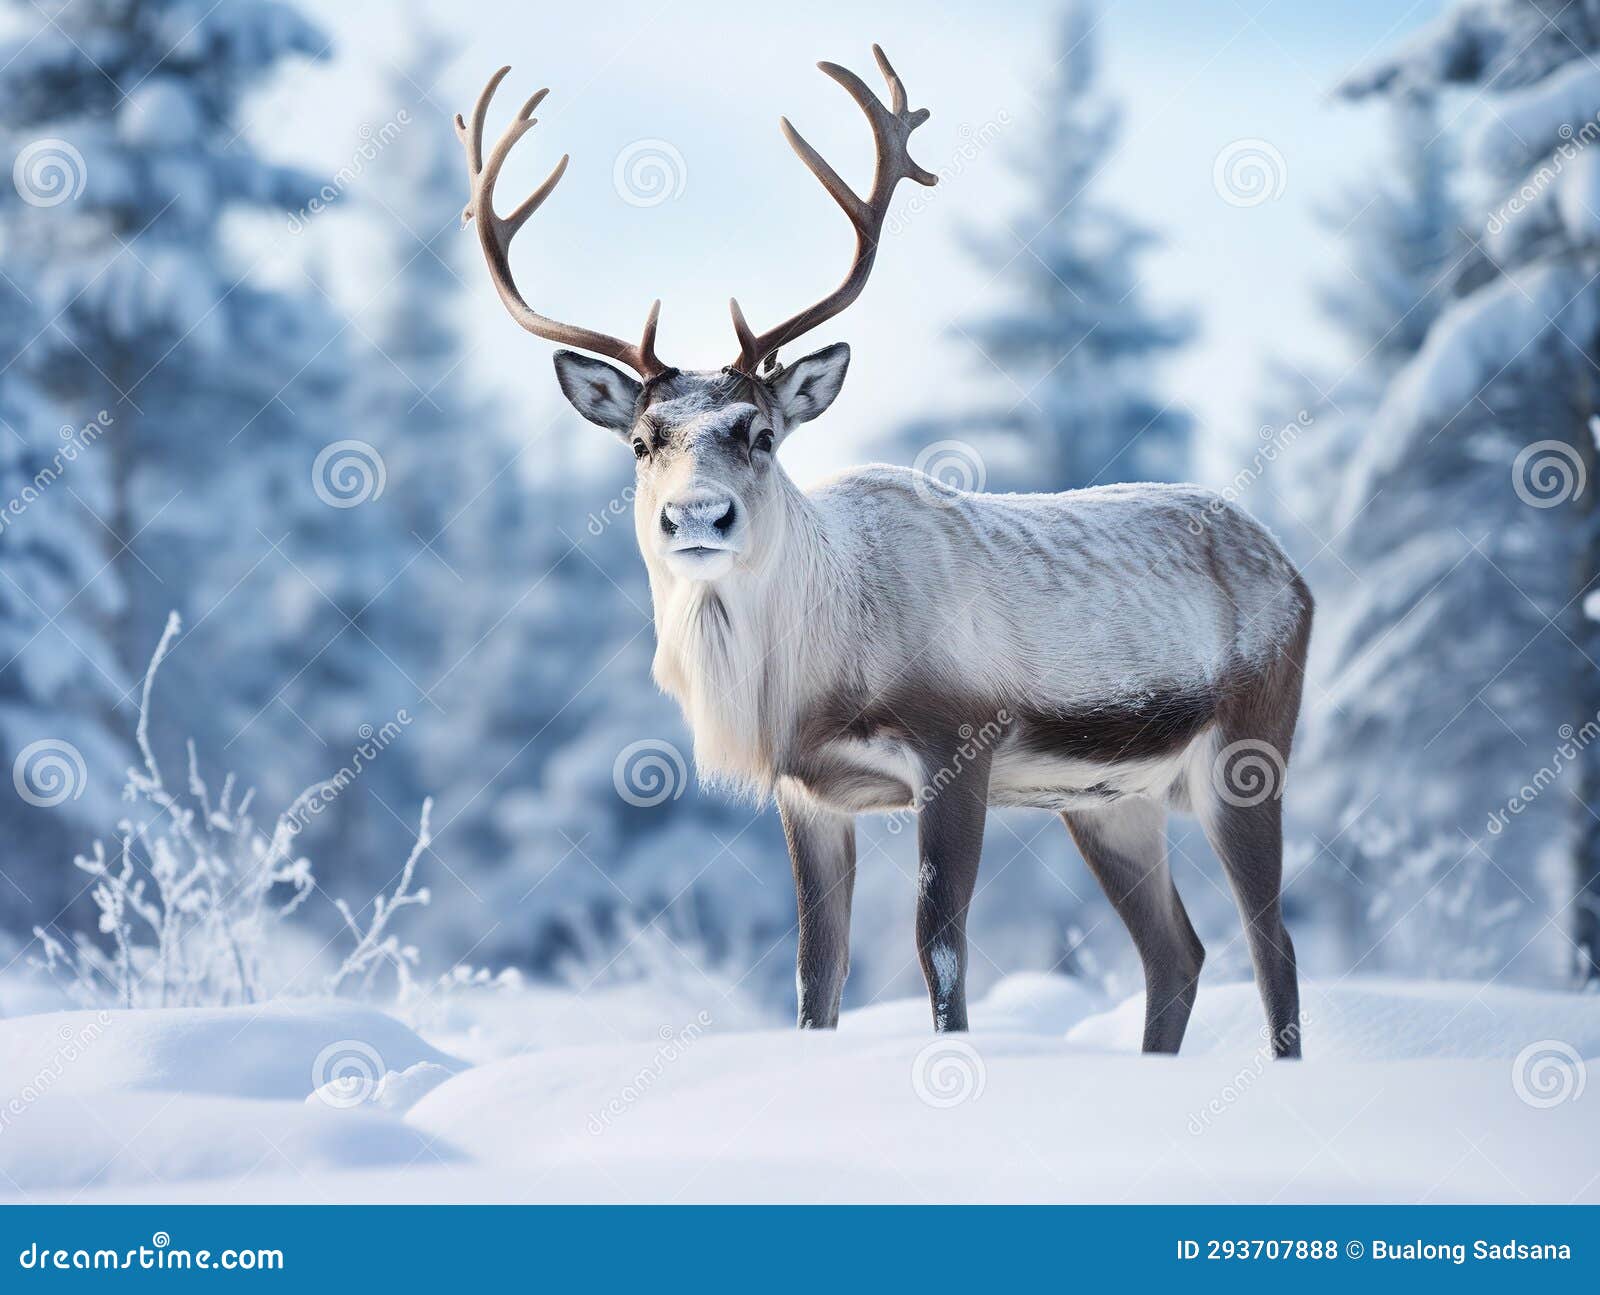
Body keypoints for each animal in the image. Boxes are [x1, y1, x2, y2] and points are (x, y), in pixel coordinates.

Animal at [456, 45, 1312, 1057]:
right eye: (641, 440)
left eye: (759, 432)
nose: (698, 515)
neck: (814, 670)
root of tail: (1292, 569)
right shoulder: (808, 793)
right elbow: (813, 974)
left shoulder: (957, 742)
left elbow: (939, 948)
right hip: (1110, 798)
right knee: (1177, 952)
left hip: (1250, 747)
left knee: (1273, 945)